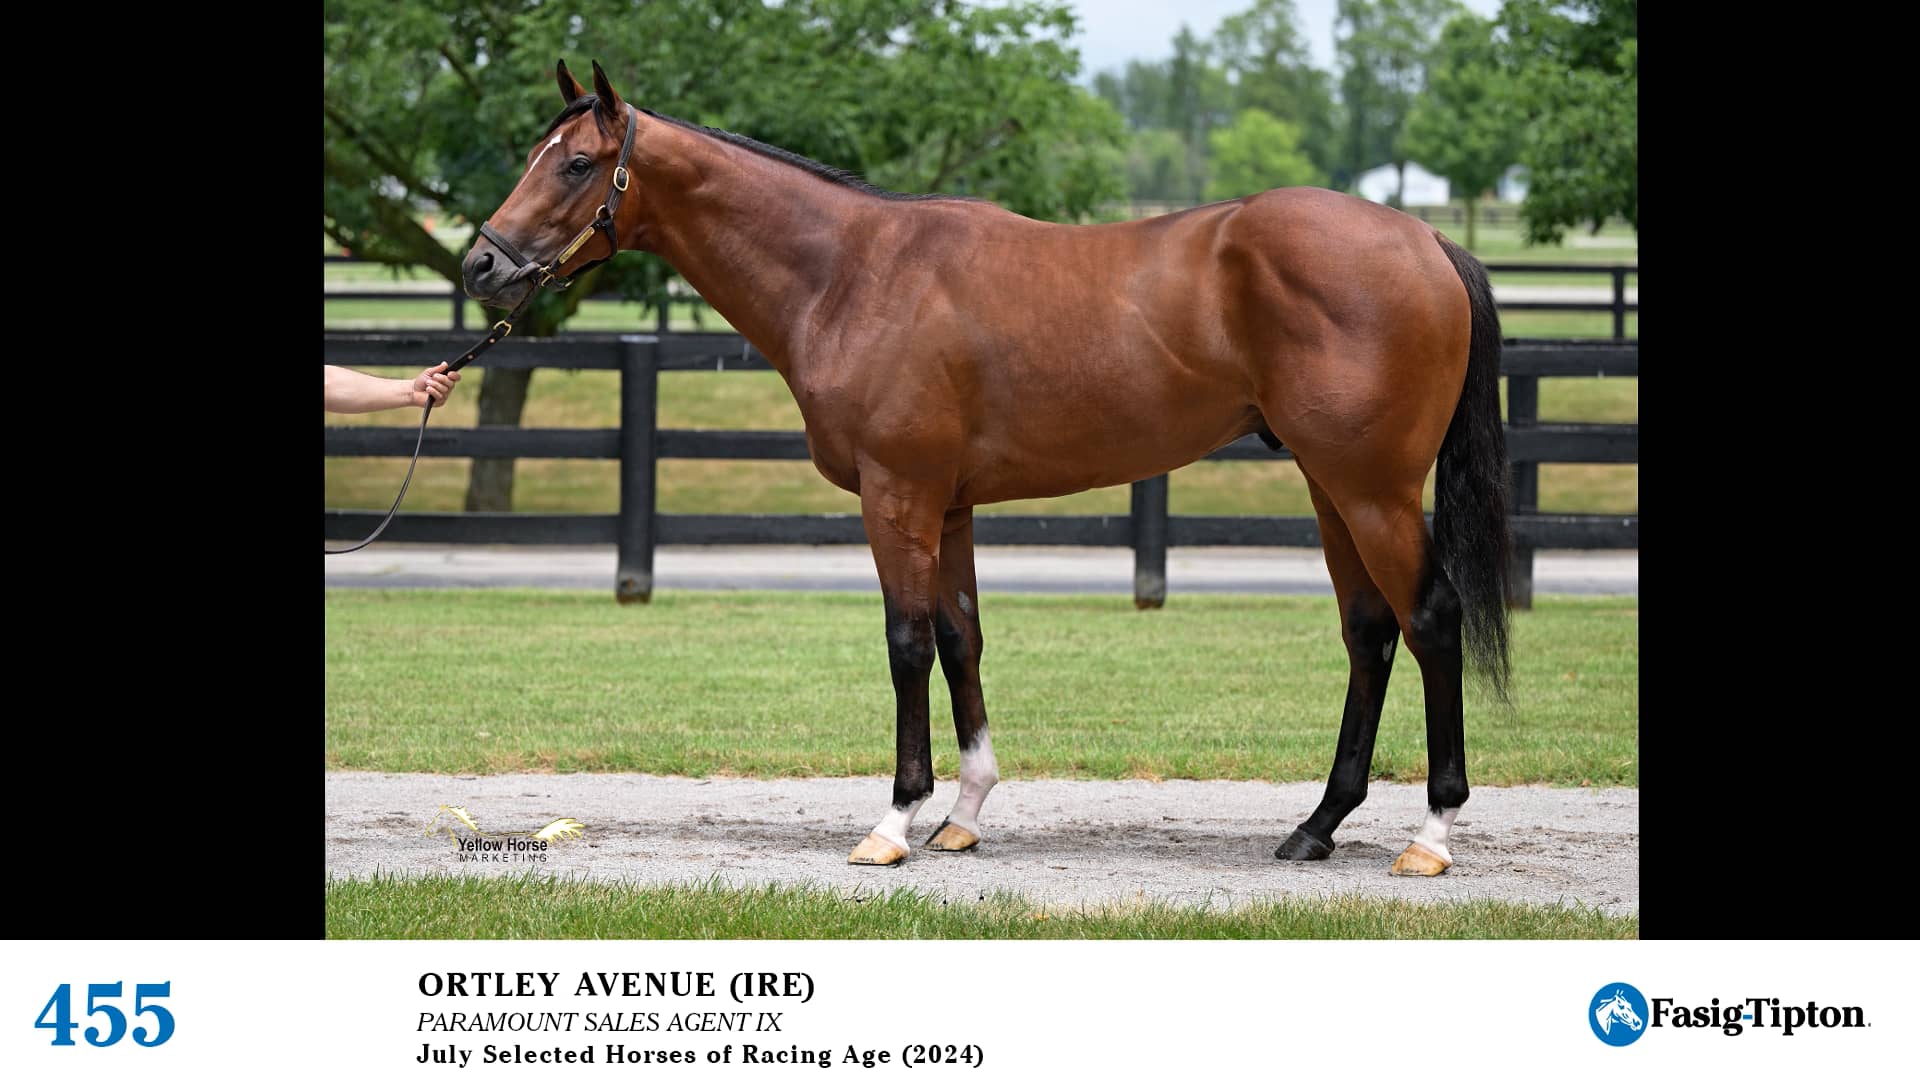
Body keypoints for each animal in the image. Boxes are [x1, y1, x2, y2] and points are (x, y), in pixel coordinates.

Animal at [462, 60, 1513, 876]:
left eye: (578, 163)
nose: (481, 266)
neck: (851, 273)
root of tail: (1425, 238)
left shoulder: (898, 496)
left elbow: (906, 643)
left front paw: (893, 823)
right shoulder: (952, 507)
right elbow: (961, 639)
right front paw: (962, 819)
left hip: (1373, 490)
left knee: (1430, 620)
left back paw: (1431, 836)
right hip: (1330, 487)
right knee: (1370, 632)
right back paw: (1317, 826)